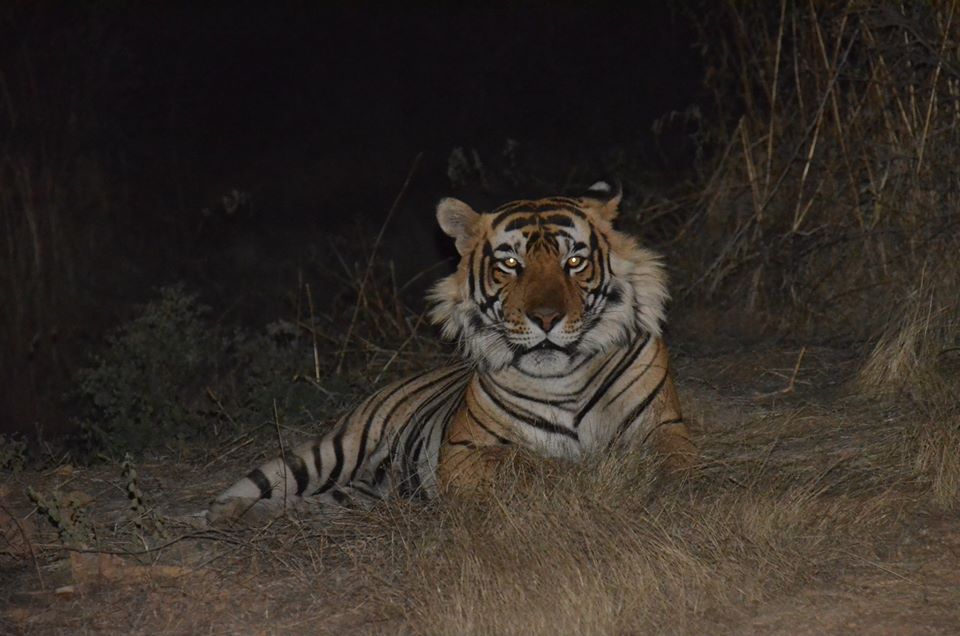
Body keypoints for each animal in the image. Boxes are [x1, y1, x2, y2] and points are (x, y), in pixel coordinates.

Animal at [206, 182, 694, 524]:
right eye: (510, 264)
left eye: (574, 261)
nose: (546, 318)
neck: (565, 376)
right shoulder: (464, 452)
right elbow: (529, 464)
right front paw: (588, 472)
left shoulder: (664, 427)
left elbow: (667, 462)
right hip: (330, 452)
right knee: (262, 484)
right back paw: (220, 515)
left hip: (352, 497)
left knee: (309, 505)